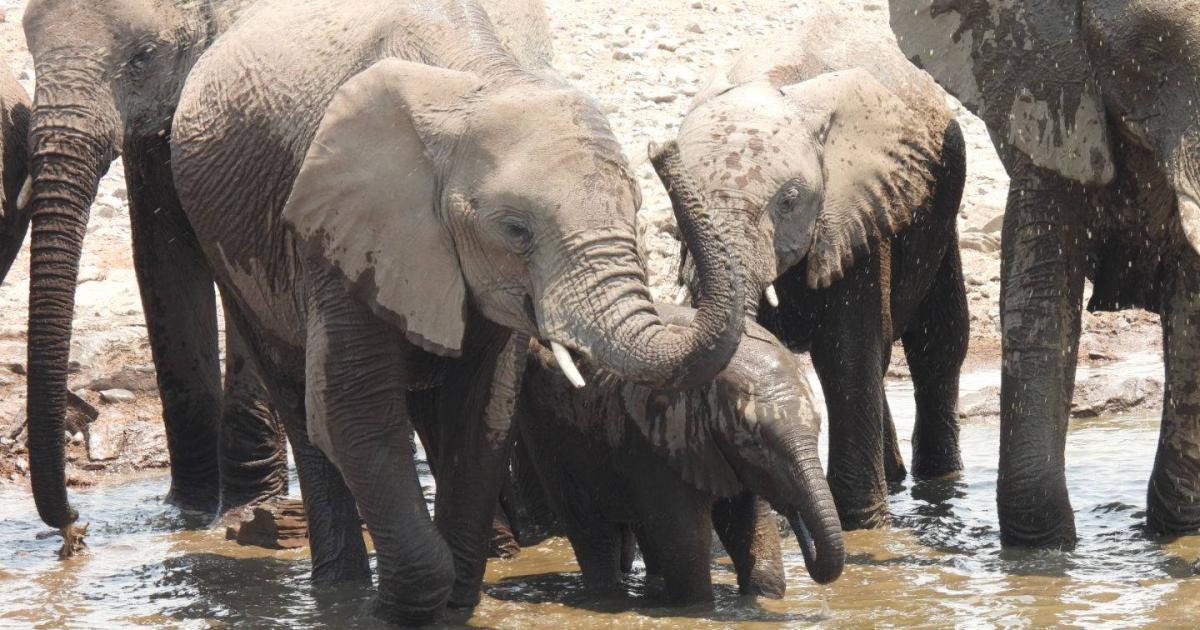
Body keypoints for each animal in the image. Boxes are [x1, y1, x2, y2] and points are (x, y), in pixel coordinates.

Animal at [166, 0, 744, 623]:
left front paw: (454, 605)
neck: (476, 81)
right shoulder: (343, 229)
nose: (663, 149)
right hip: (223, 241)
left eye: (636, 208)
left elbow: (485, 411)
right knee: (294, 393)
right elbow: (351, 412)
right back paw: (338, 593)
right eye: (516, 231)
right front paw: (398, 611)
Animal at [515, 302, 844, 604]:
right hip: (543, 429)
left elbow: (748, 525)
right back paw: (607, 597)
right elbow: (687, 538)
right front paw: (698, 607)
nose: (793, 513)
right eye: (755, 445)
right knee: (588, 526)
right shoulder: (653, 443)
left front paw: (762, 597)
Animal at [662, 11, 969, 530]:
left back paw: (939, 484)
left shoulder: (857, 208)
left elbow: (847, 351)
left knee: (938, 342)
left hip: (944, 195)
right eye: (683, 204)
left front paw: (863, 527)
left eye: (788, 201)